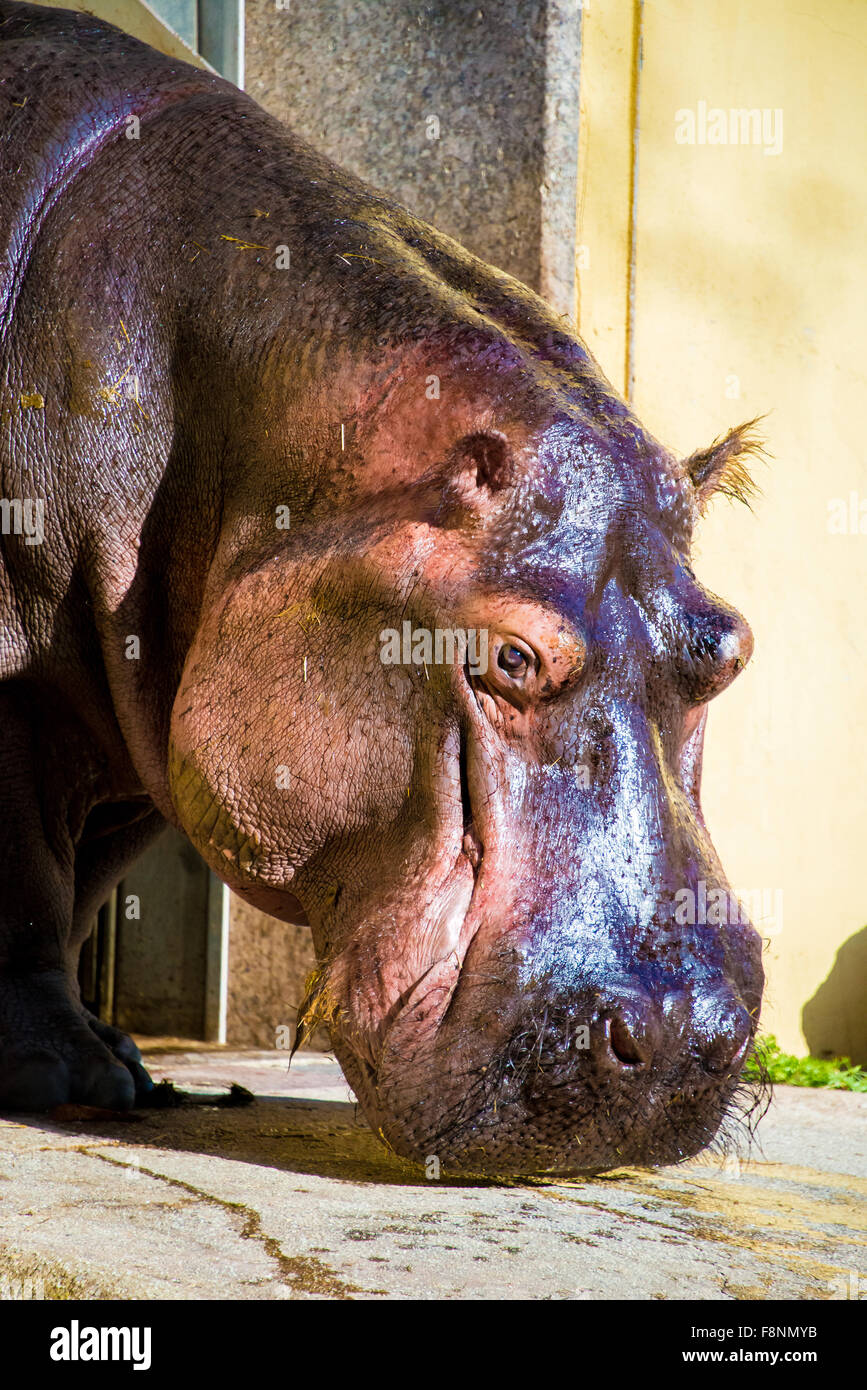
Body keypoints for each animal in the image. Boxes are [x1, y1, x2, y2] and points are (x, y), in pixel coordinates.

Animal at [0, 0, 765, 1174]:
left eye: (727, 650)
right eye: (508, 656)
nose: (683, 1038)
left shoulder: (137, 712)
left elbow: (84, 887)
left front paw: (115, 1063)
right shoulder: (23, 671)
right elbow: (28, 886)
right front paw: (64, 1078)